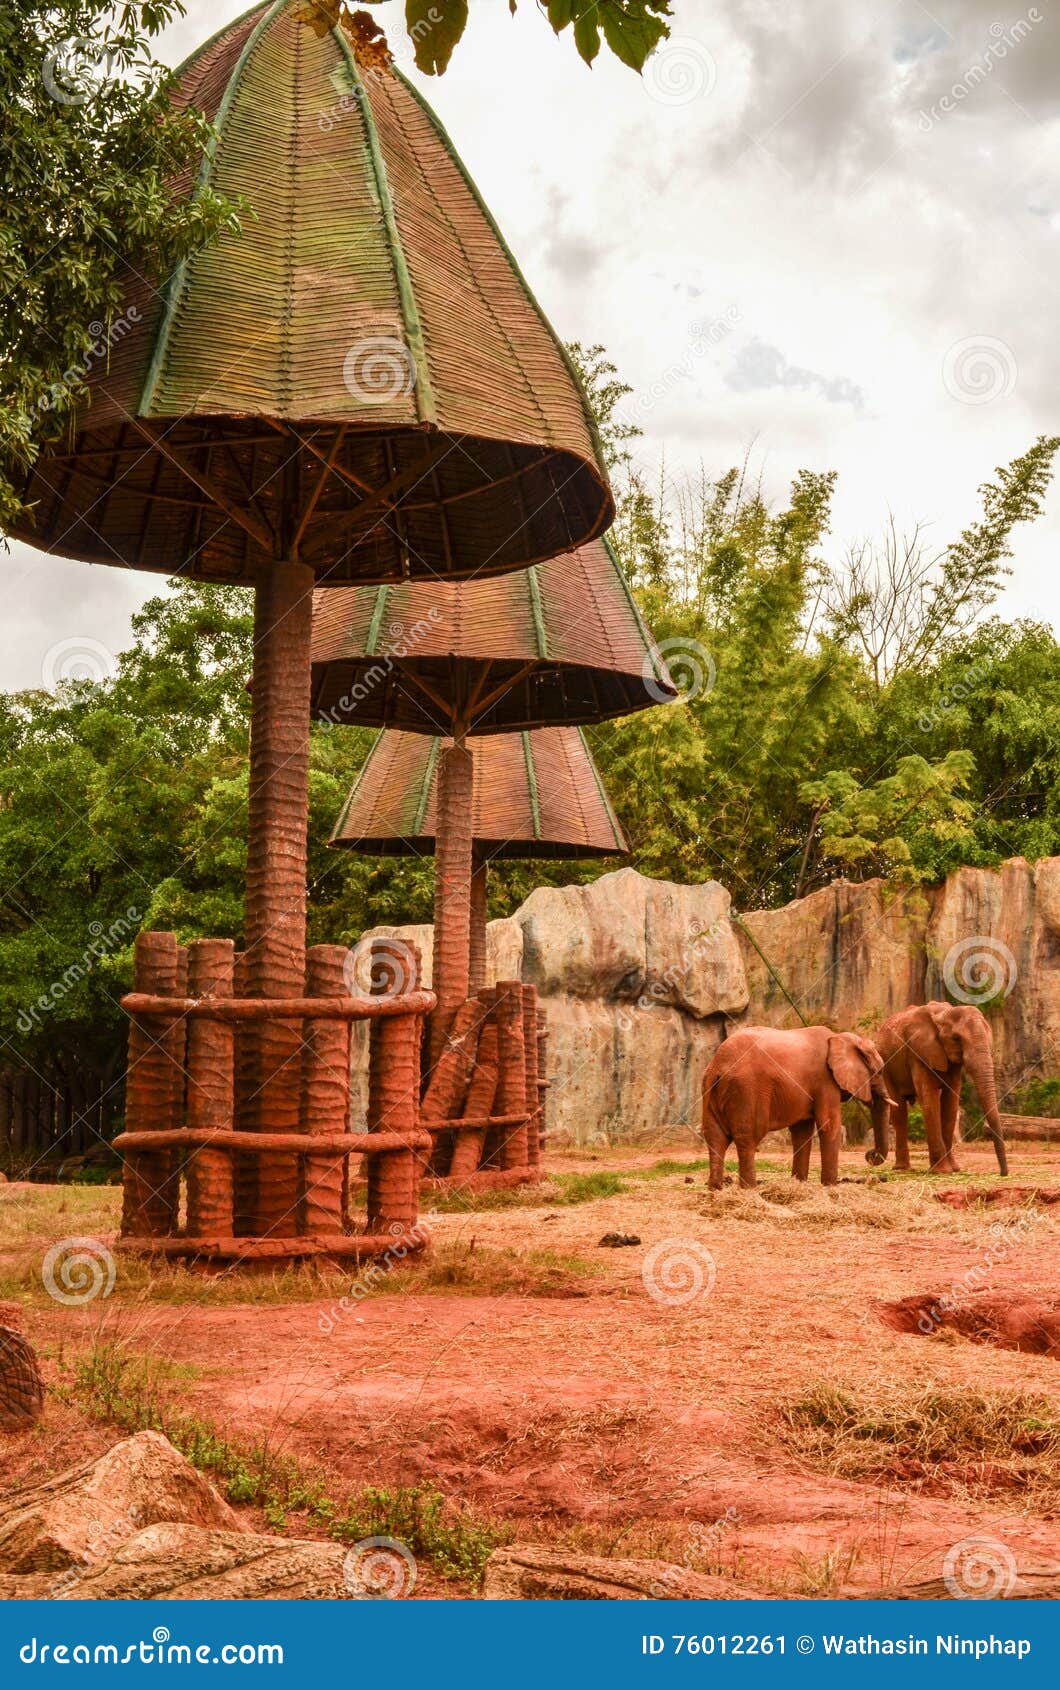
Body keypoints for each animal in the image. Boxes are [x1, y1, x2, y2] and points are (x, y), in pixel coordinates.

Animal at [701, 1025, 894, 1190]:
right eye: (879, 1072)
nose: (870, 1154)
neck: (840, 1038)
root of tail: (719, 1064)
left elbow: (802, 1132)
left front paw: (799, 1182)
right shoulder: (825, 1081)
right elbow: (829, 1125)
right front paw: (830, 1186)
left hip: (709, 1088)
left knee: (715, 1137)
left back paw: (715, 1188)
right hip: (746, 1090)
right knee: (747, 1138)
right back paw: (750, 1188)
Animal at [875, 1001, 1008, 1176]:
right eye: (956, 1038)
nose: (1003, 1173)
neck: (945, 1014)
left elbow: (951, 1102)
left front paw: (955, 1169)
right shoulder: (918, 1053)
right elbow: (929, 1099)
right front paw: (942, 1171)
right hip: (885, 1064)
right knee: (900, 1111)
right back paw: (902, 1168)